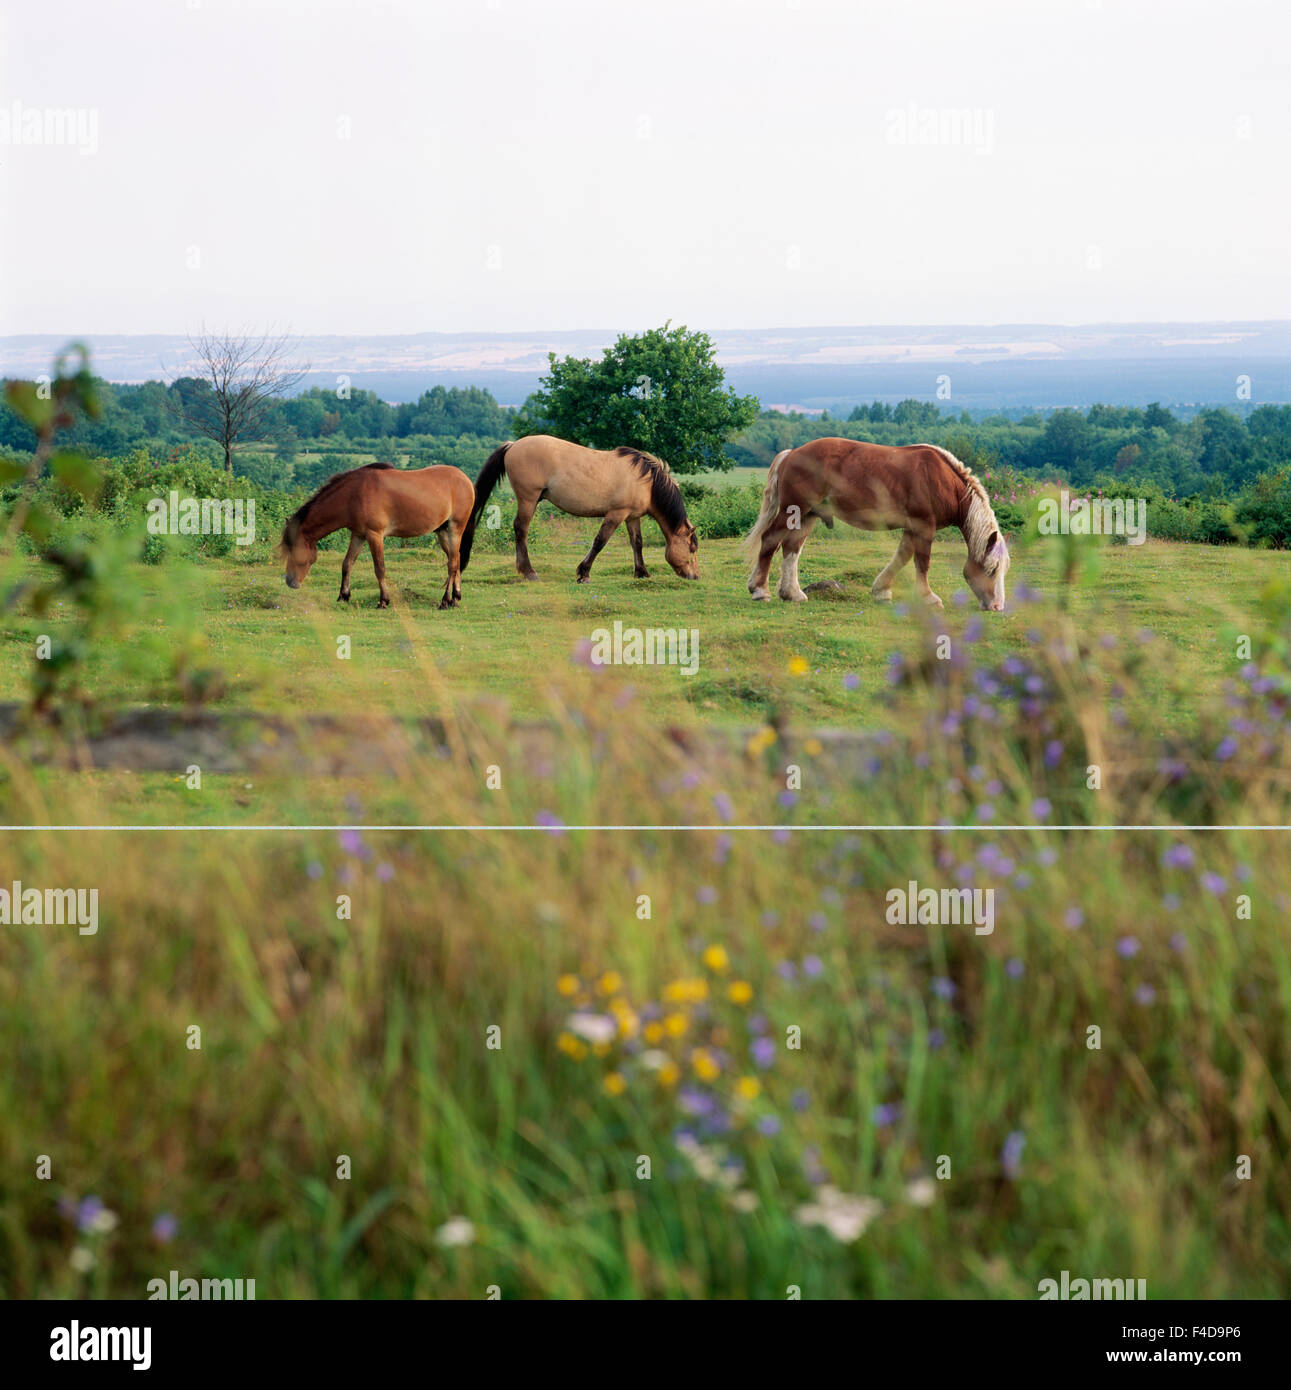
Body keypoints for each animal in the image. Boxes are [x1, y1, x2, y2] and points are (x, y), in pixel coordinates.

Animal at [279, 462, 475, 609]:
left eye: (293, 549)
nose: (290, 581)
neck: (354, 494)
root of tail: (465, 479)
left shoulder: (375, 535)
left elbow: (380, 568)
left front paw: (383, 601)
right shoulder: (358, 535)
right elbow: (347, 564)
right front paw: (343, 596)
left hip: (455, 530)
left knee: (452, 564)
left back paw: (445, 601)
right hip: (443, 533)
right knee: (456, 560)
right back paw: (455, 598)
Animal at [458, 435, 700, 582]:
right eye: (691, 549)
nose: (695, 576)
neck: (646, 482)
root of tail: (513, 445)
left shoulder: (632, 517)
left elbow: (637, 543)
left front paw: (642, 572)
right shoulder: (616, 514)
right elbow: (600, 542)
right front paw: (584, 573)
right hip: (528, 498)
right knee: (521, 529)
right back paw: (529, 572)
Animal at [744, 438, 1010, 610]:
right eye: (991, 570)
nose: (997, 606)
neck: (941, 481)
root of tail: (791, 453)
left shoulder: (912, 528)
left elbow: (902, 556)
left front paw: (881, 591)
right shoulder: (924, 526)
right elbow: (921, 563)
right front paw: (928, 597)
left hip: (807, 516)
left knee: (791, 549)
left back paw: (792, 593)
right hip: (793, 510)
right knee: (770, 540)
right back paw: (760, 590)